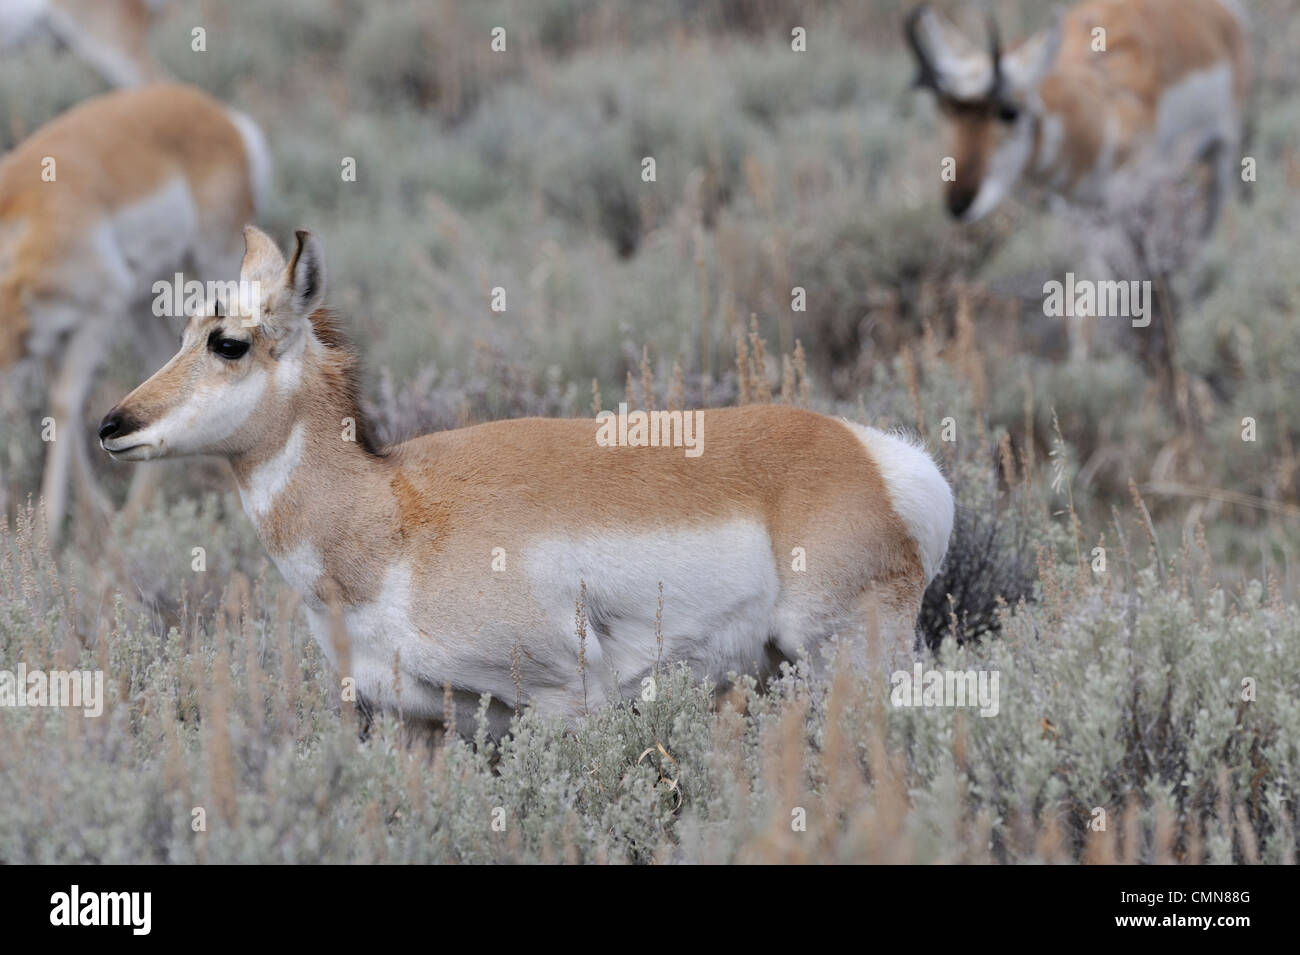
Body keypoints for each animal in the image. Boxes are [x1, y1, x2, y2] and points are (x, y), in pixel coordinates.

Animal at [0, 84, 271, 535]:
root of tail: (219, 115)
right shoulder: (52, 341)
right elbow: (61, 411)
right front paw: (89, 515)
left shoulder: (100, 312)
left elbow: (63, 403)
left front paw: (49, 526)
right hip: (143, 302)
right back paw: (133, 514)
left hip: (215, 269)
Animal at [98, 227, 955, 734]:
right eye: (183, 329)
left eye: (229, 342)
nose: (113, 424)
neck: (392, 517)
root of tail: (878, 455)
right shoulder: (420, 724)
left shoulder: (562, 703)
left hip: (849, 656)